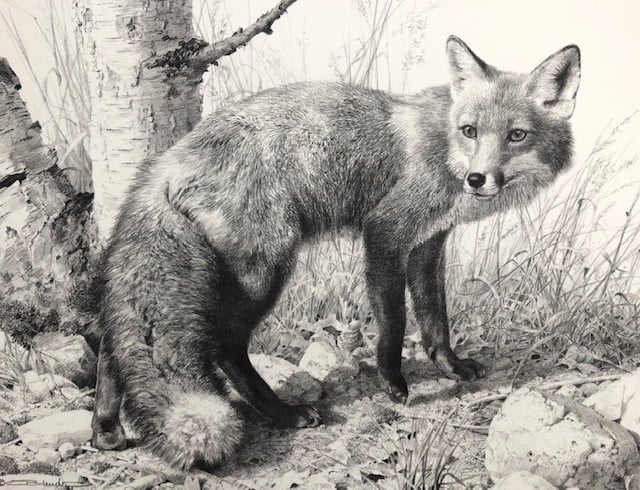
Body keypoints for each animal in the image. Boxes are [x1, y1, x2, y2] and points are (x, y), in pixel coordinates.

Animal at [90, 36, 581, 469]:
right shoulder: (385, 231)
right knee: (224, 347)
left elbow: (435, 319)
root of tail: (167, 161)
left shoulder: (428, 244)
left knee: (113, 349)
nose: (477, 179)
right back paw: (284, 414)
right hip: (264, 271)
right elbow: (395, 322)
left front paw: (451, 368)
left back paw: (105, 430)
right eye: (470, 131)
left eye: (517, 135)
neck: (445, 148)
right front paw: (393, 384)